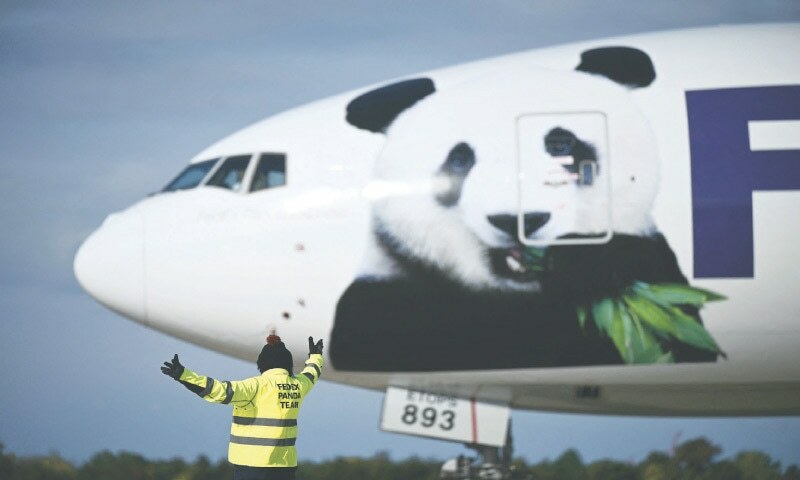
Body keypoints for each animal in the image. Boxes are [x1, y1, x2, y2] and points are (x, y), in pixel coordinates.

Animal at [330, 47, 718, 372]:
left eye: (561, 143)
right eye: (460, 159)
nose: (517, 220)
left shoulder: (658, 274)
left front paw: (588, 263)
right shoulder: (386, 301)